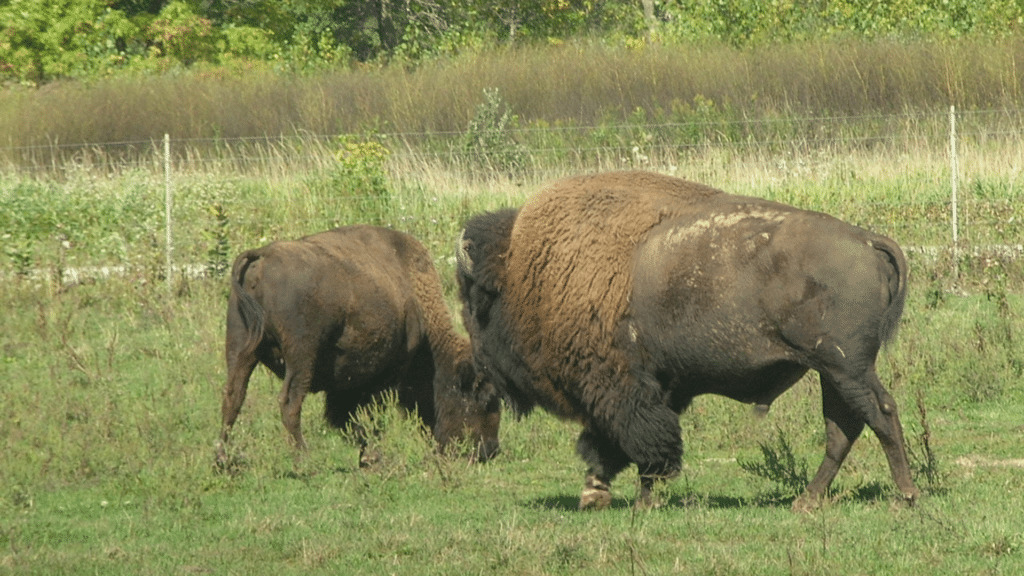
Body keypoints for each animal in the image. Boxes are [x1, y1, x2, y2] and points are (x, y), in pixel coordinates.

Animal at [217, 225, 501, 467]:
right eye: (486, 399)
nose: (490, 450)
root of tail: (262, 256)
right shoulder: (389, 373)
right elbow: (371, 415)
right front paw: (372, 456)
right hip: (301, 356)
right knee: (289, 402)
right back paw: (305, 460)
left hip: (240, 346)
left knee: (233, 395)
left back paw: (222, 460)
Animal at [456, 171, 919, 511]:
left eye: (472, 302)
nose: (478, 366)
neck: (527, 271)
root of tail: (866, 240)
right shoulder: (656, 386)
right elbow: (615, 443)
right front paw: (598, 493)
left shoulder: (620, 386)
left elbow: (638, 441)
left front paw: (635, 500)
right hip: (832, 370)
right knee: (843, 428)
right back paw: (806, 501)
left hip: (846, 367)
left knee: (880, 414)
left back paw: (906, 495)